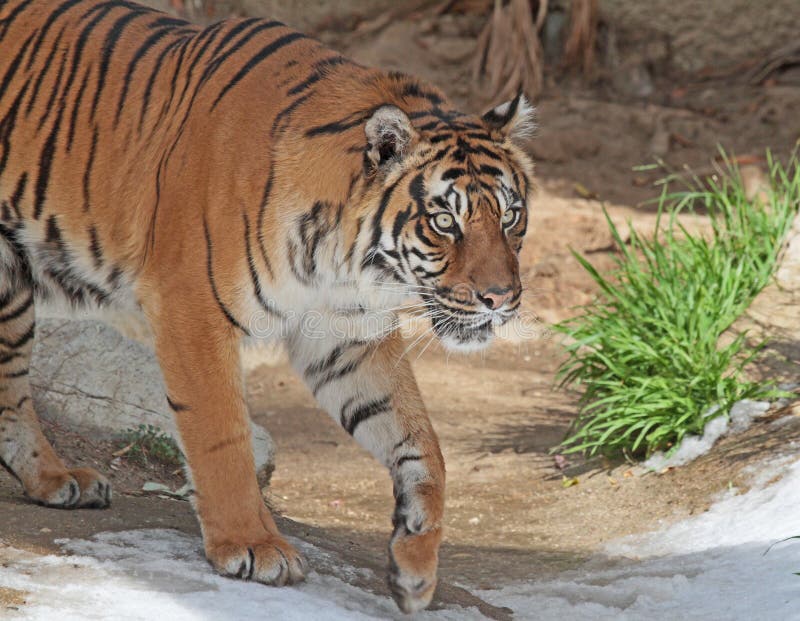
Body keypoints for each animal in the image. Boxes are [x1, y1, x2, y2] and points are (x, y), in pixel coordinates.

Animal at [0, 0, 534, 612]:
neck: (343, 262)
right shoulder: (192, 312)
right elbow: (222, 435)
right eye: (445, 221)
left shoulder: (346, 335)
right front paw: (251, 544)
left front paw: (416, 567)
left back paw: (54, 479)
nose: (501, 299)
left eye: (511, 217)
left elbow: (419, 440)